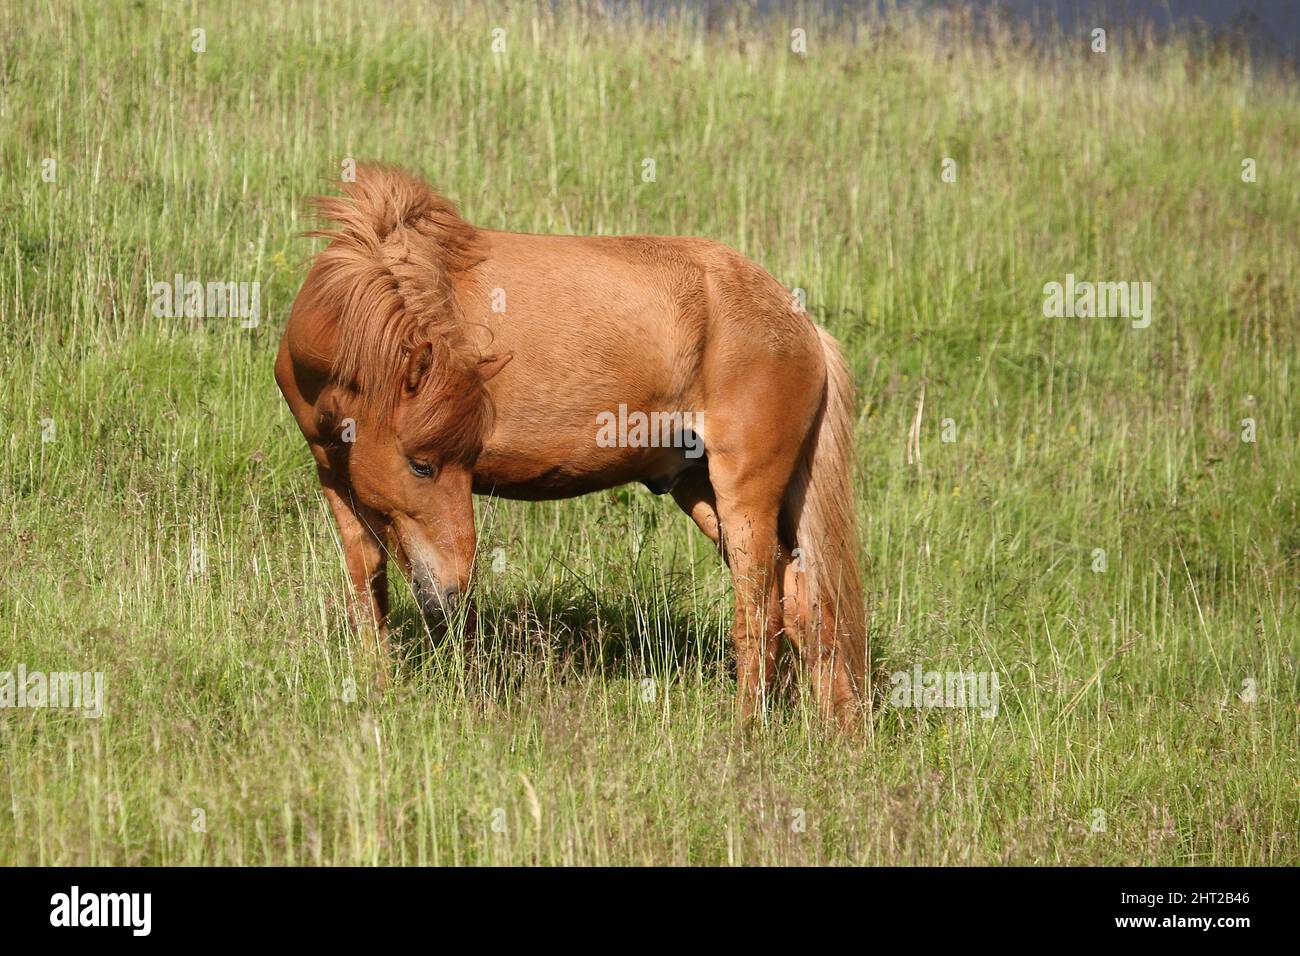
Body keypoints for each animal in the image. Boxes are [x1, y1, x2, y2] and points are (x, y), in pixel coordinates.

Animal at [275, 164, 868, 728]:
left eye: (451, 462)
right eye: (421, 466)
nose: (453, 590)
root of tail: (799, 321)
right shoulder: (337, 480)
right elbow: (366, 590)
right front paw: (374, 687)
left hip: (746, 495)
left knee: (760, 615)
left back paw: (745, 730)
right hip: (703, 493)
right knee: (805, 604)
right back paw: (837, 734)